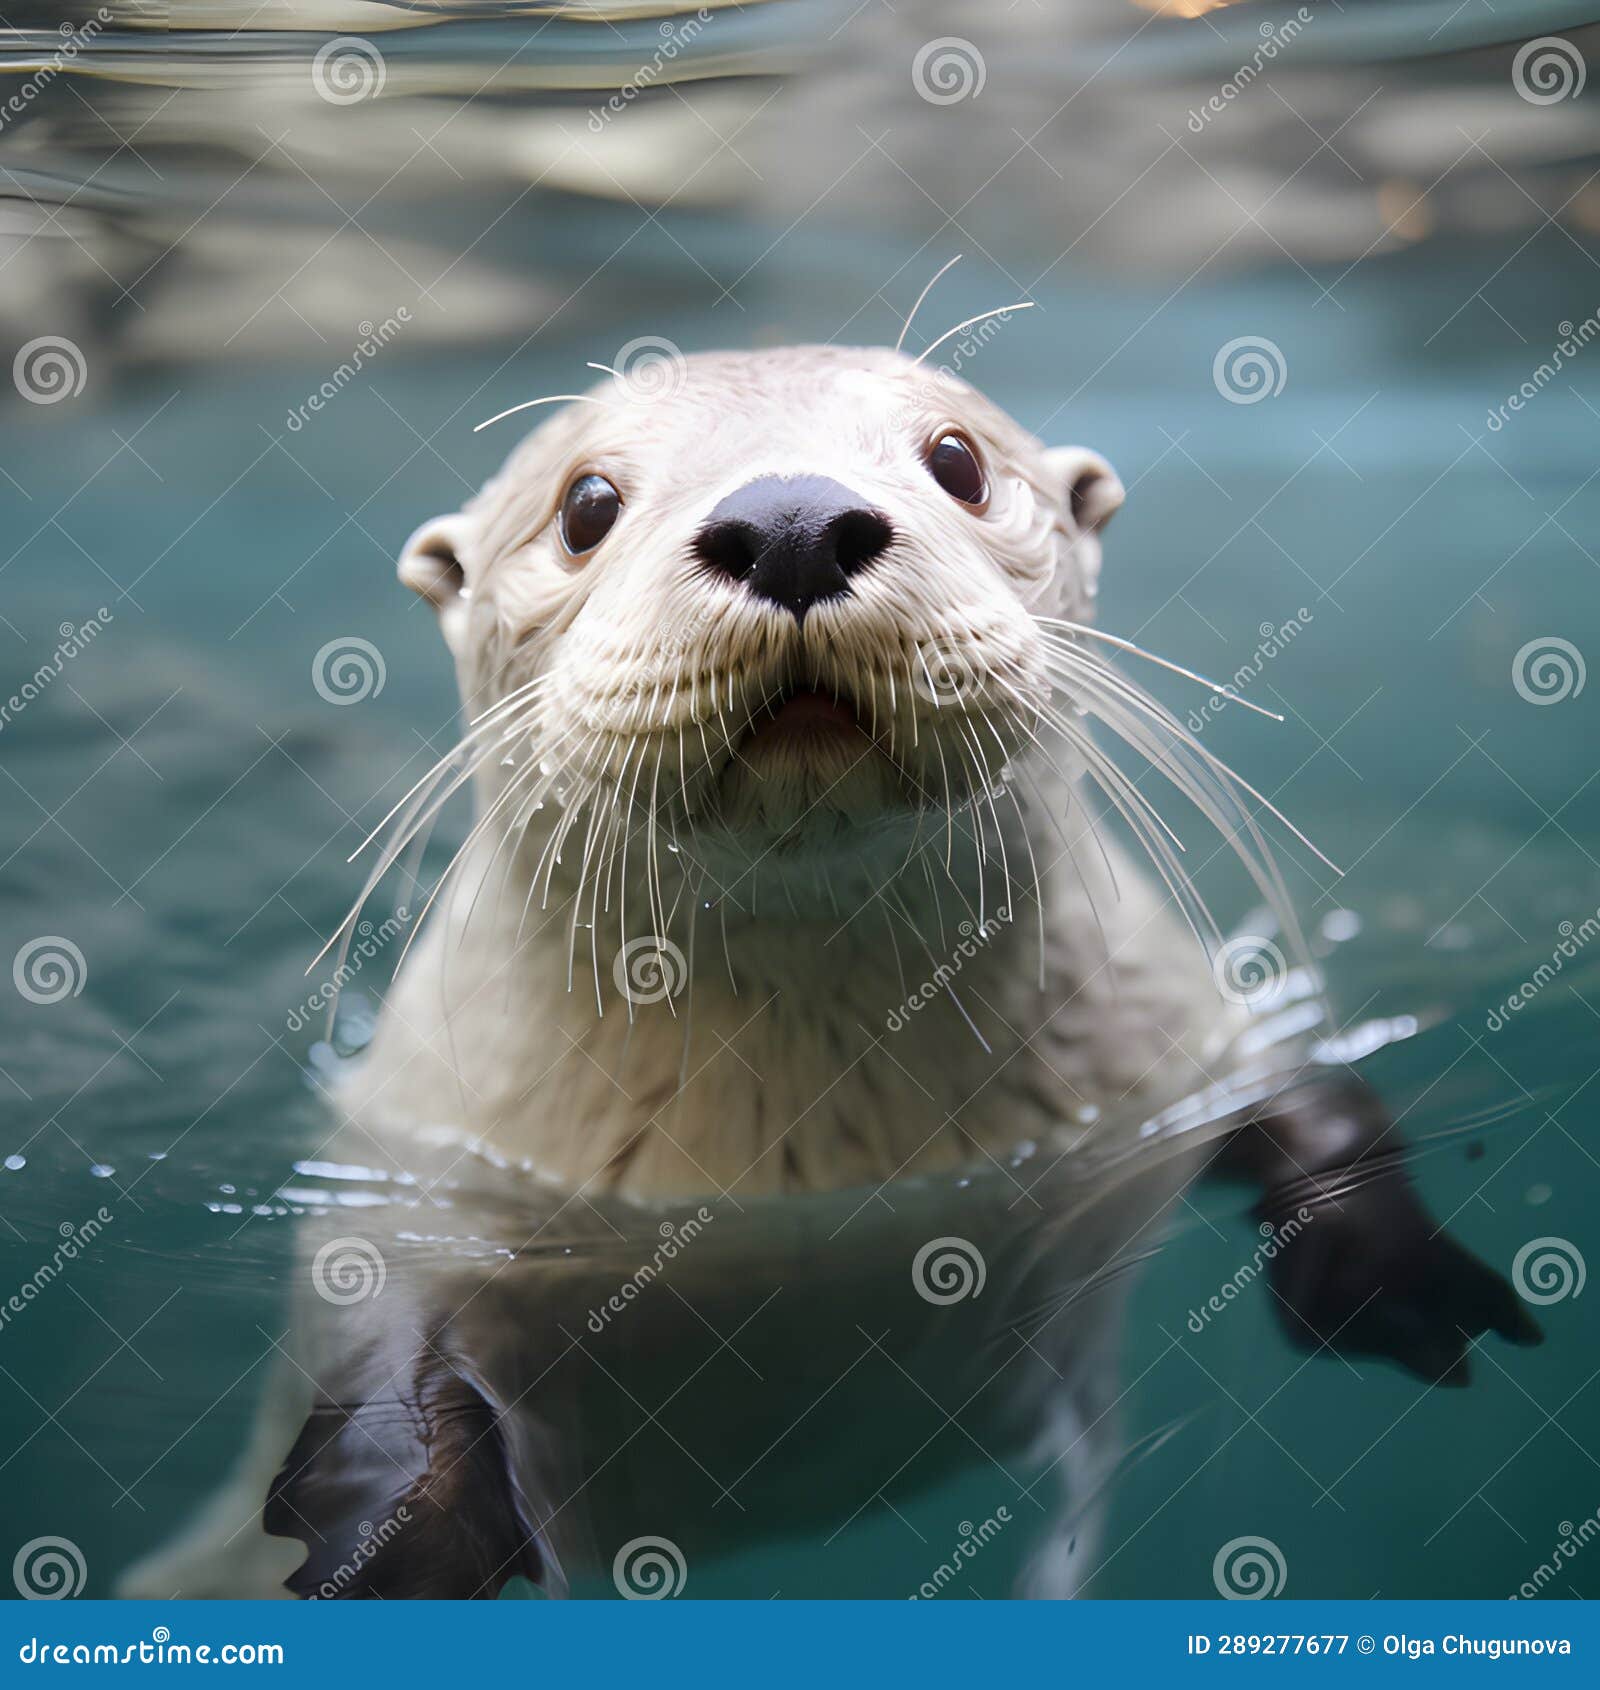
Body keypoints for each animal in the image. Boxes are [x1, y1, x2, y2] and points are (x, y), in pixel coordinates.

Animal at [119, 340, 1538, 1601]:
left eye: (957, 460)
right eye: (585, 504)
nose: (791, 519)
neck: (808, 1161)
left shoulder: (1175, 1053)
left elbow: (1314, 1104)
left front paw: (1397, 1283)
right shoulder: (411, 1180)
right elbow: (376, 1340)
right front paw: (394, 1538)